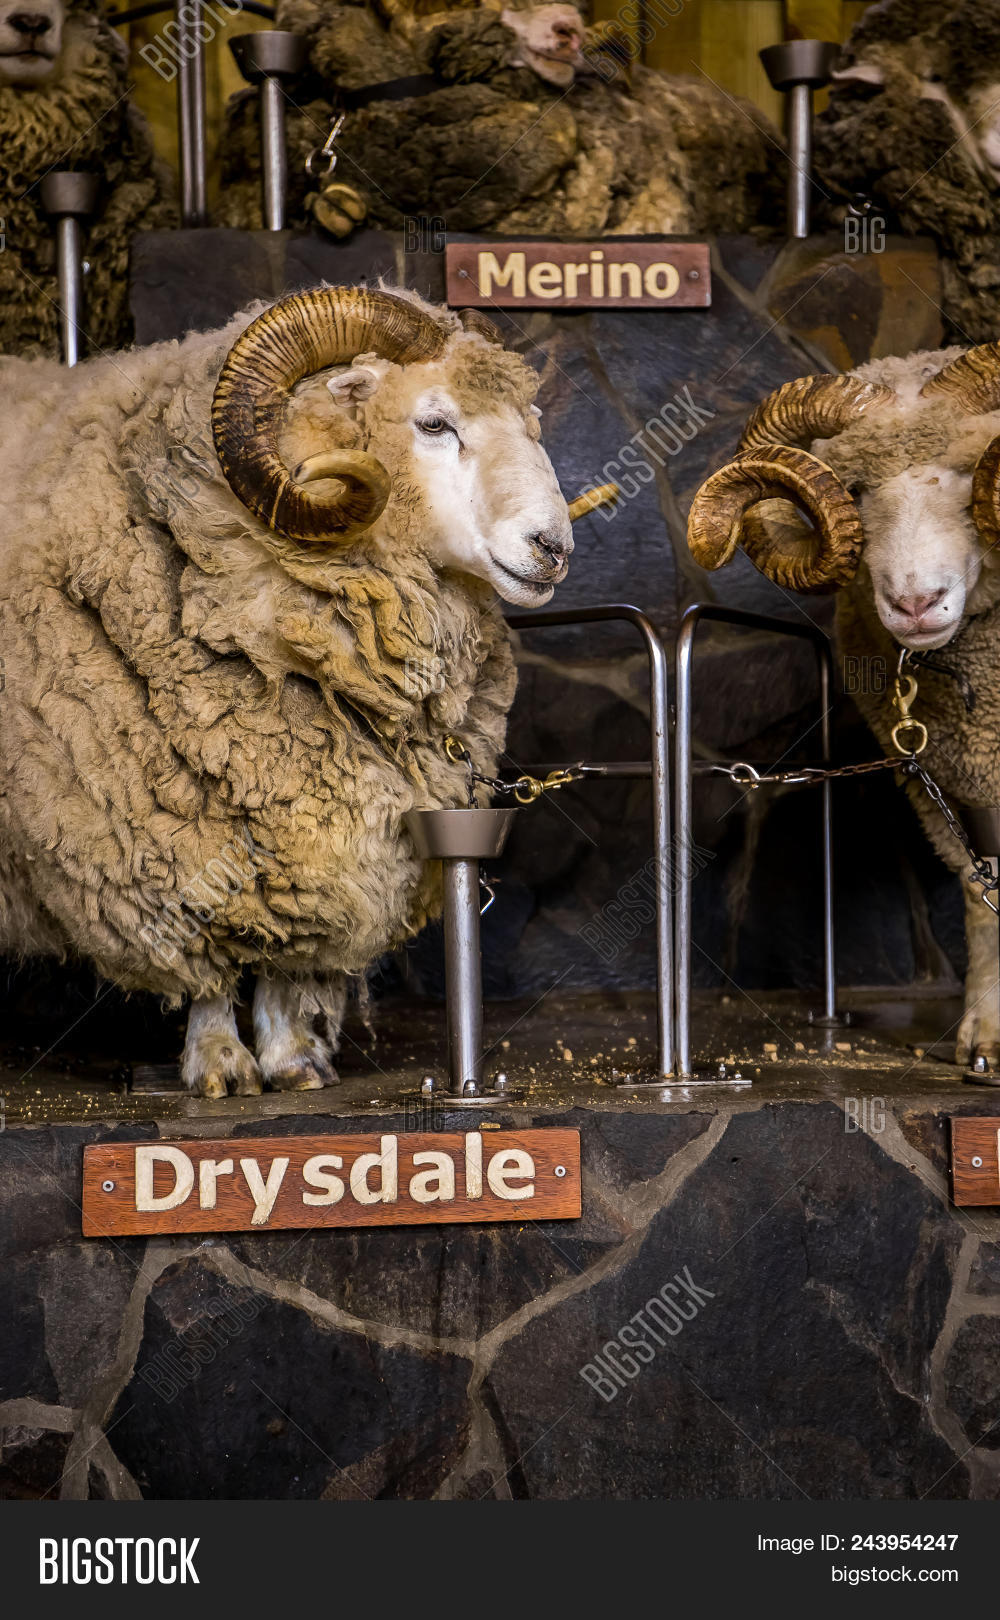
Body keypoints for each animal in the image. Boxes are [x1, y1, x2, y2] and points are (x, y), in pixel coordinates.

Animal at [0, 284, 575, 1095]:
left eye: (529, 424)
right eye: (434, 422)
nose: (554, 548)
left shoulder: (313, 822)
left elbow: (294, 946)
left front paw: (291, 1057)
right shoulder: (164, 839)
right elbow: (204, 956)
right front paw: (220, 1063)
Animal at [685, 341, 1000, 1070]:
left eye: (971, 471)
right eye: (855, 490)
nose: (915, 603)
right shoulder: (945, 780)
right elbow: (980, 889)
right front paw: (986, 1033)